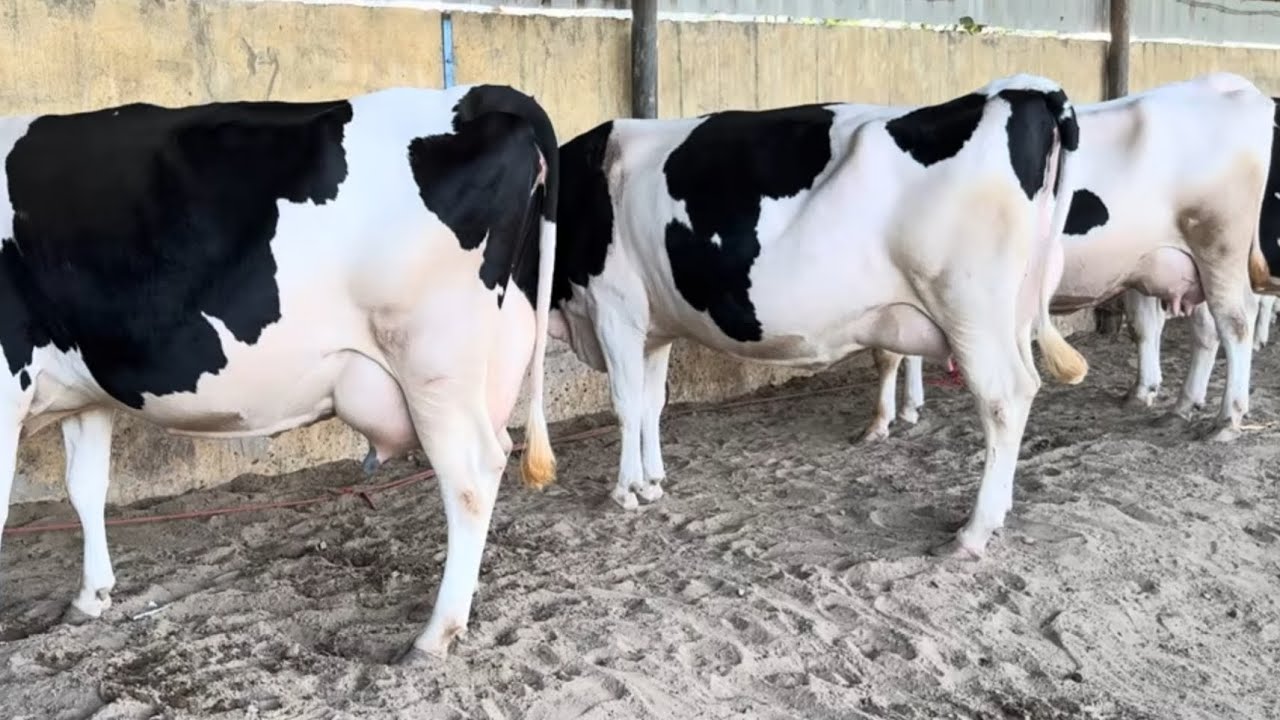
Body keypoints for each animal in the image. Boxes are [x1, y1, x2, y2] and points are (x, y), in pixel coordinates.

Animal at [0, 83, 560, 663]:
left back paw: (434, 635)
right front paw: (91, 597)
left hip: (433, 362)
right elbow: (85, 487)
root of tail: (473, 96)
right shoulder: (84, 392)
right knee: (494, 452)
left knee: (471, 476)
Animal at [549, 74, 1087, 558]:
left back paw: (973, 531)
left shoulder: (614, 309)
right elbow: (650, 403)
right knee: (1024, 389)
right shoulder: (654, 326)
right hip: (1012, 314)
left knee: (1004, 398)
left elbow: (624, 403)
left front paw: (626, 490)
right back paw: (1001, 511)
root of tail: (1020, 91)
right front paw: (653, 479)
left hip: (971, 310)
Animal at [866, 74, 1276, 444]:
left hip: (1218, 245)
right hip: (1193, 265)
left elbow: (888, 355)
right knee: (1205, 330)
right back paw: (1181, 404)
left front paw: (882, 421)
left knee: (1235, 324)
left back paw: (1227, 419)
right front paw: (910, 408)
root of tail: (1231, 85)